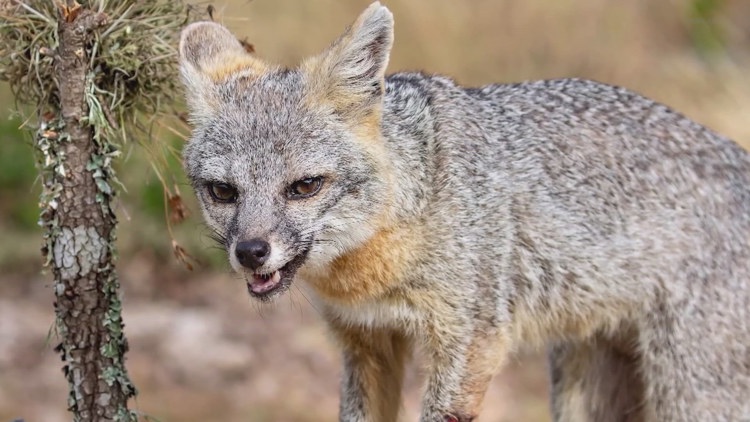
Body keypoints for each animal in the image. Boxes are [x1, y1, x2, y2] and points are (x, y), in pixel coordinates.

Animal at [177, 2, 750, 421]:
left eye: (304, 187)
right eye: (223, 192)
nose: (251, 252)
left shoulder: (472, 342)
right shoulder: (367, 342)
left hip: (688, 392)